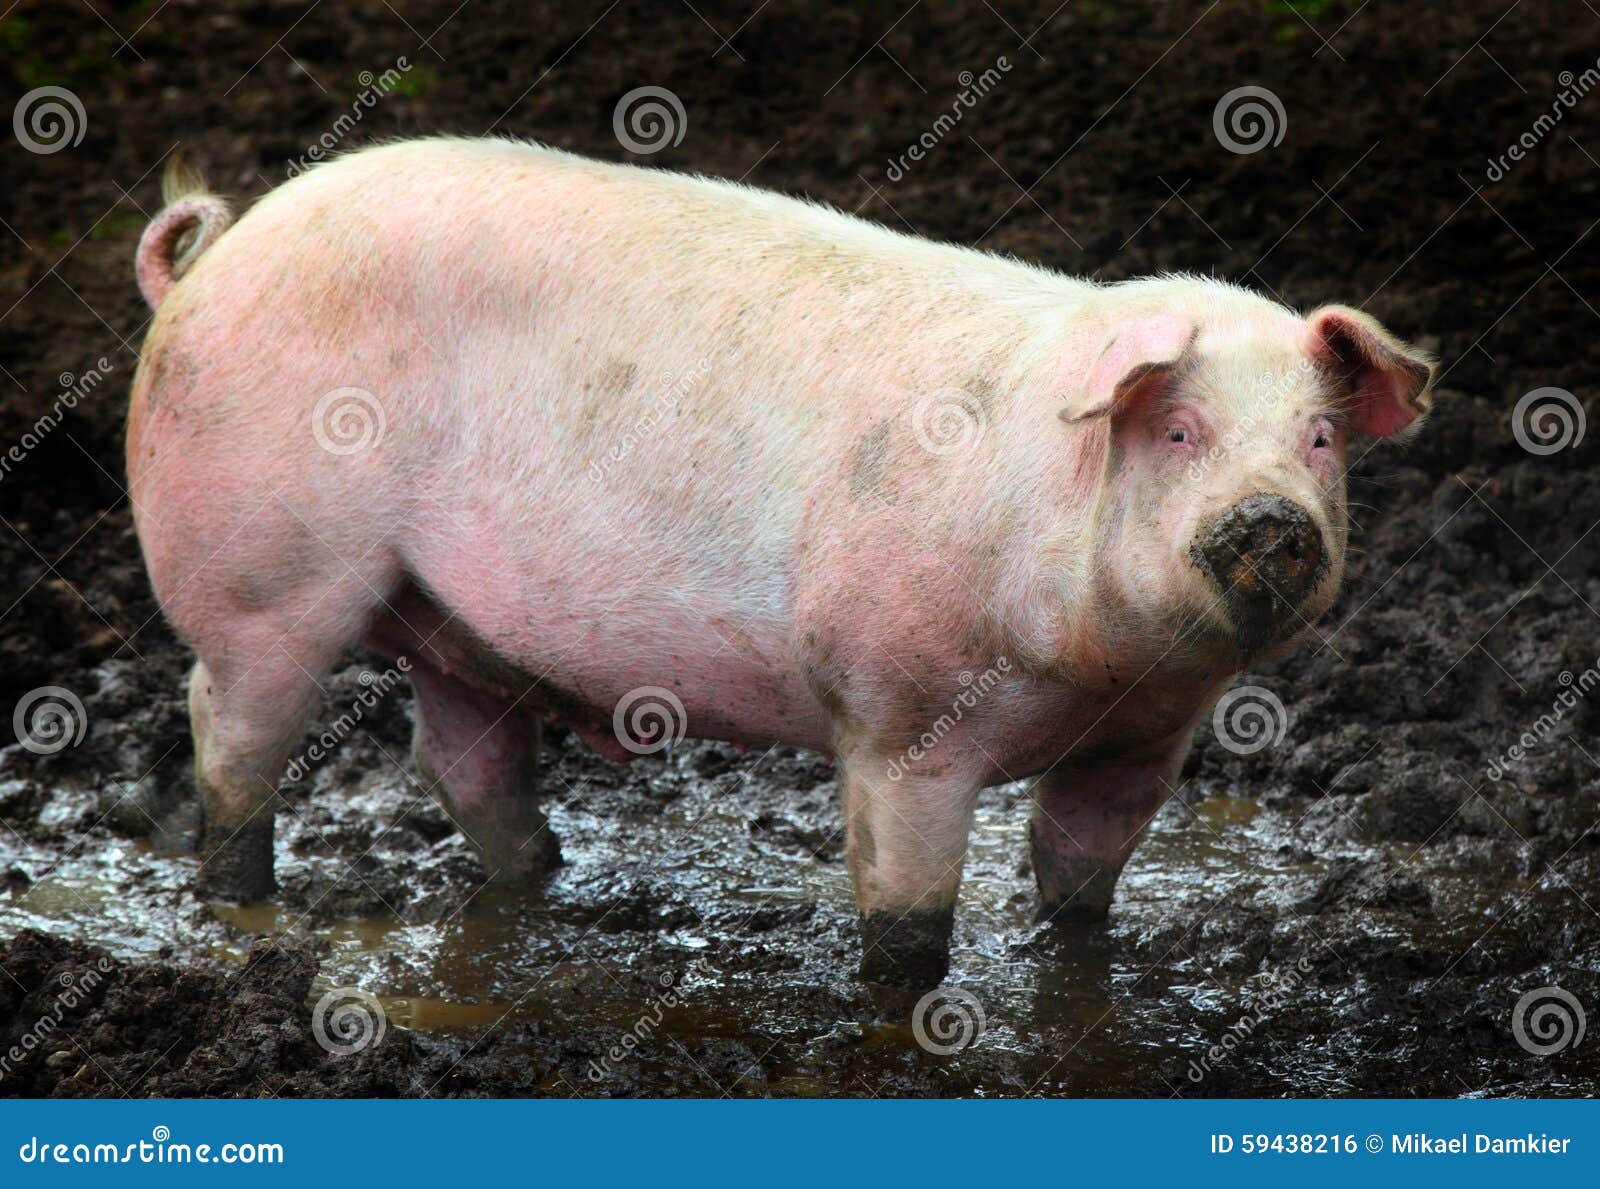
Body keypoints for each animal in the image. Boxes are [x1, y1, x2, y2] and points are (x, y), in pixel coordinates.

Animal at [127, 138, 1434, 989]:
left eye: (1318, 440)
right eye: (1177, 433)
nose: (1270, 517)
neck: (1089, 671)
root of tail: (213, 256)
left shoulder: (1142, 740)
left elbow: (1078, 887)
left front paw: (1072, 968)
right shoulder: (898, 715)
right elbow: (904, 916)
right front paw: (904, 1000)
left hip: (453, 624)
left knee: (456, 756)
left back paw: (542, 881)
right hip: (261, 572)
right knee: (228, 725)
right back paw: (242, 904)